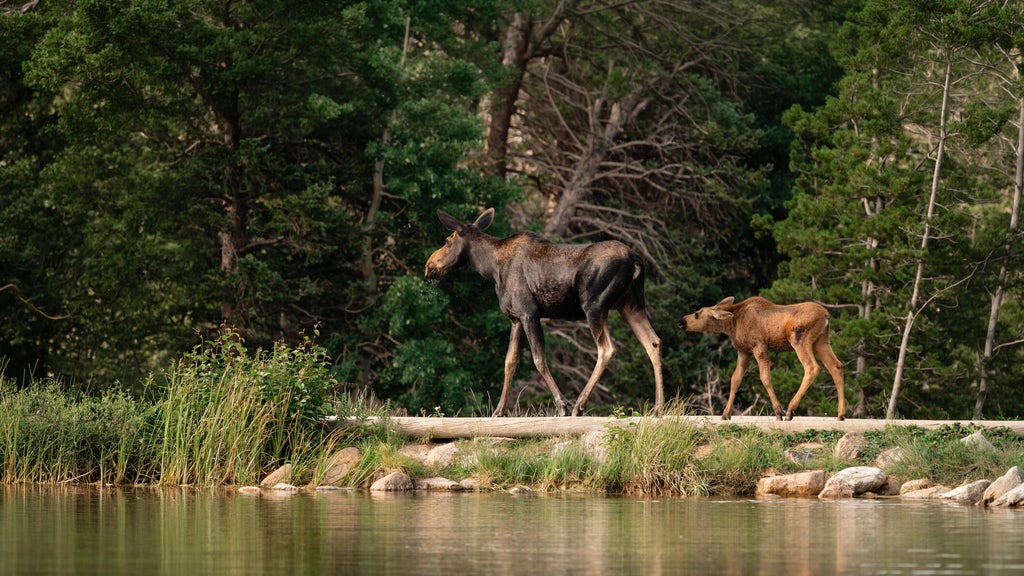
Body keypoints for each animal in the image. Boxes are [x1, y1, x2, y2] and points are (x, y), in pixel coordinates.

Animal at [425, 207, 665, 417]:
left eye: (447, 241)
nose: (428, 266)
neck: (491, 269)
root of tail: (636, 260)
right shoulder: (515, 319)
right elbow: (509, 362)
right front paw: (499, 411)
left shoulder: (528, 312)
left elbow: (538, 359)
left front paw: (562, 405)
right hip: (631, 305)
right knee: (653, 341)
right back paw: (658, 407)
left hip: (594, 305)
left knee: (607, 348)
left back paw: (579, 404)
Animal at [678, 296, 846, 421]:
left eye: (697, 313)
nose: (681, 321)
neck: (731, 324)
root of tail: (826, 315)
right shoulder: (744, 351)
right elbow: (735, 380)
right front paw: (726, 414)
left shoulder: (759, 346)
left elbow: (765, 377)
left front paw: (778, 412)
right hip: (821, 342)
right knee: (836, 366)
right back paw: (841, 414)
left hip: (799, 339)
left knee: (812, 367)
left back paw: (790, 410)